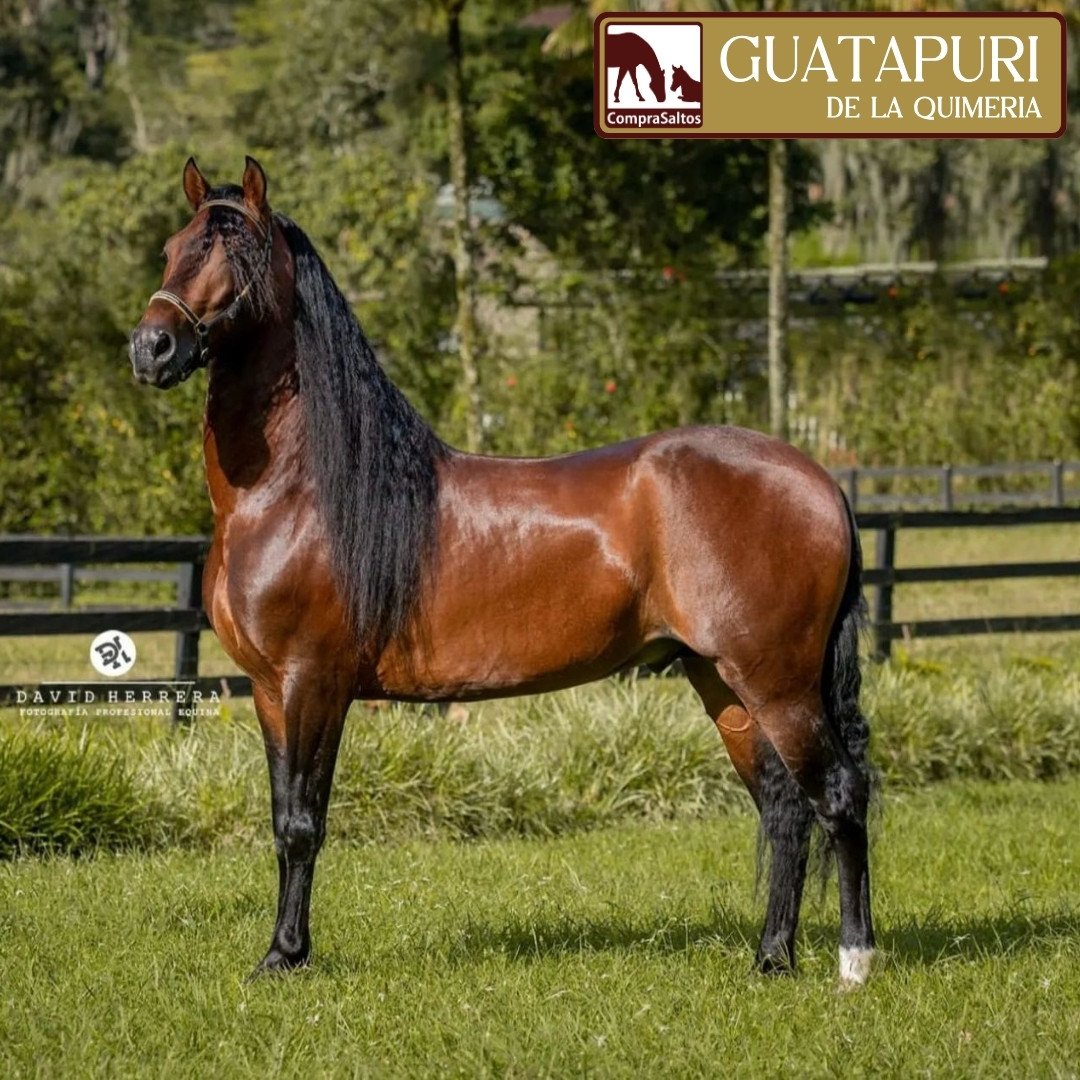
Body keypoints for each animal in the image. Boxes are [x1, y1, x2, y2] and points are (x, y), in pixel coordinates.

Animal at [130, 157, 876, 987]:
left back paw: (853, 963)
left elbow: (301, 822)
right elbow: (281, 815)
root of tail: (819, 481)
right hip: (724, 682)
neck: (297, 492)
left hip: (777, 682)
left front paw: (284, 956)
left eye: (241, 258)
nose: (151, 348)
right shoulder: (268, 690)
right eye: (173, 249)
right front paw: (285, 953)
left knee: (839, 794)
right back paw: (771, 958)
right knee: (783, 804)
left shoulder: (311, 683)